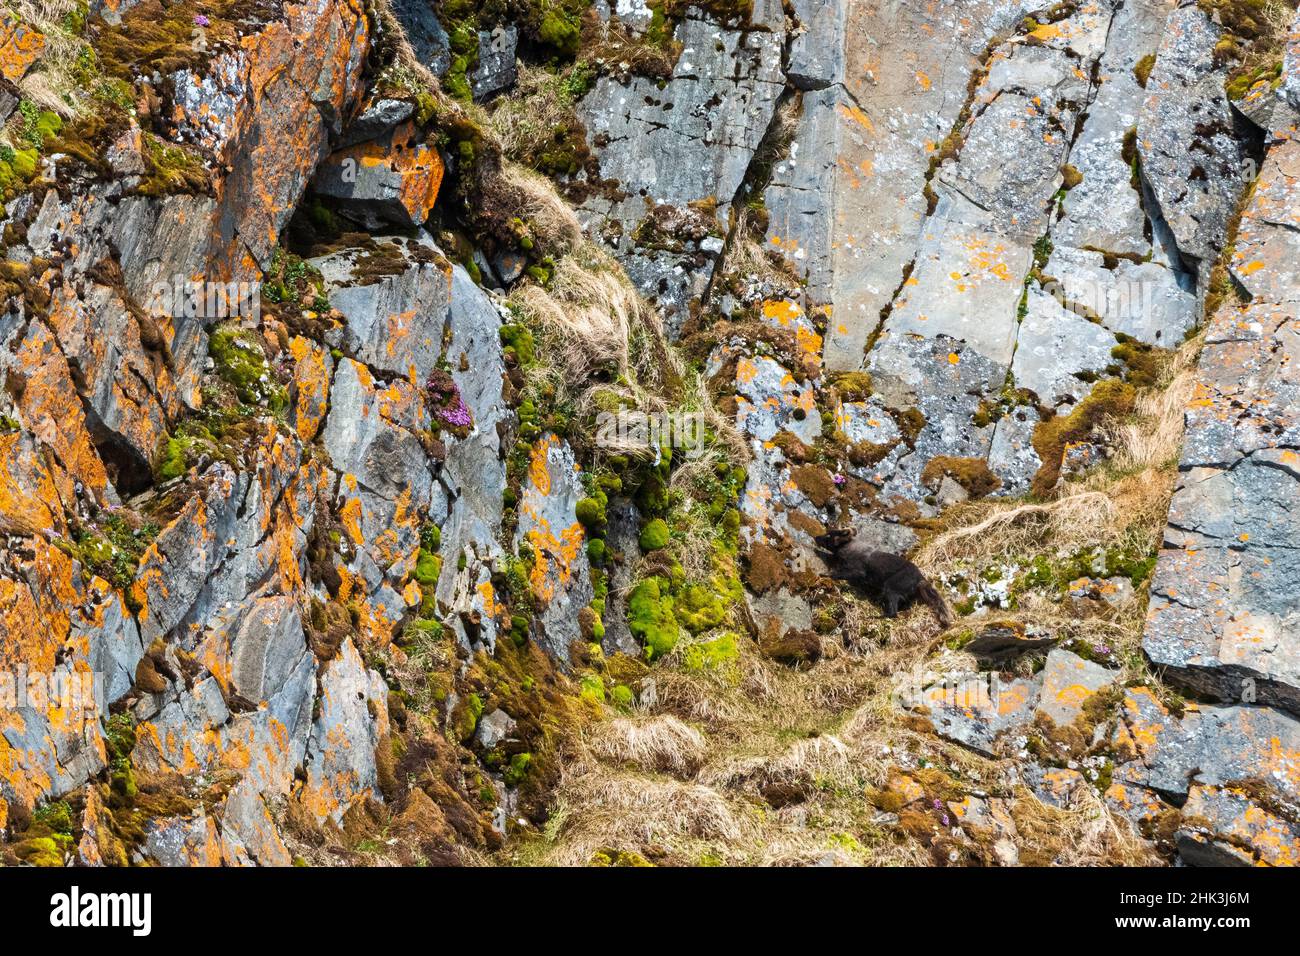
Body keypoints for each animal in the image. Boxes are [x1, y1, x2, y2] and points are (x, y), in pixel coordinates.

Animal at [814, 528, 953, 627]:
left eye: (828, 536)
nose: (815, 537)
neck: (849, 548)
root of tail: (920, 579)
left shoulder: (858, 570)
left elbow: (843, 573)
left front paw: (826, 574)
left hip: (892, 587)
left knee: (893, 613)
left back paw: (875, 617)